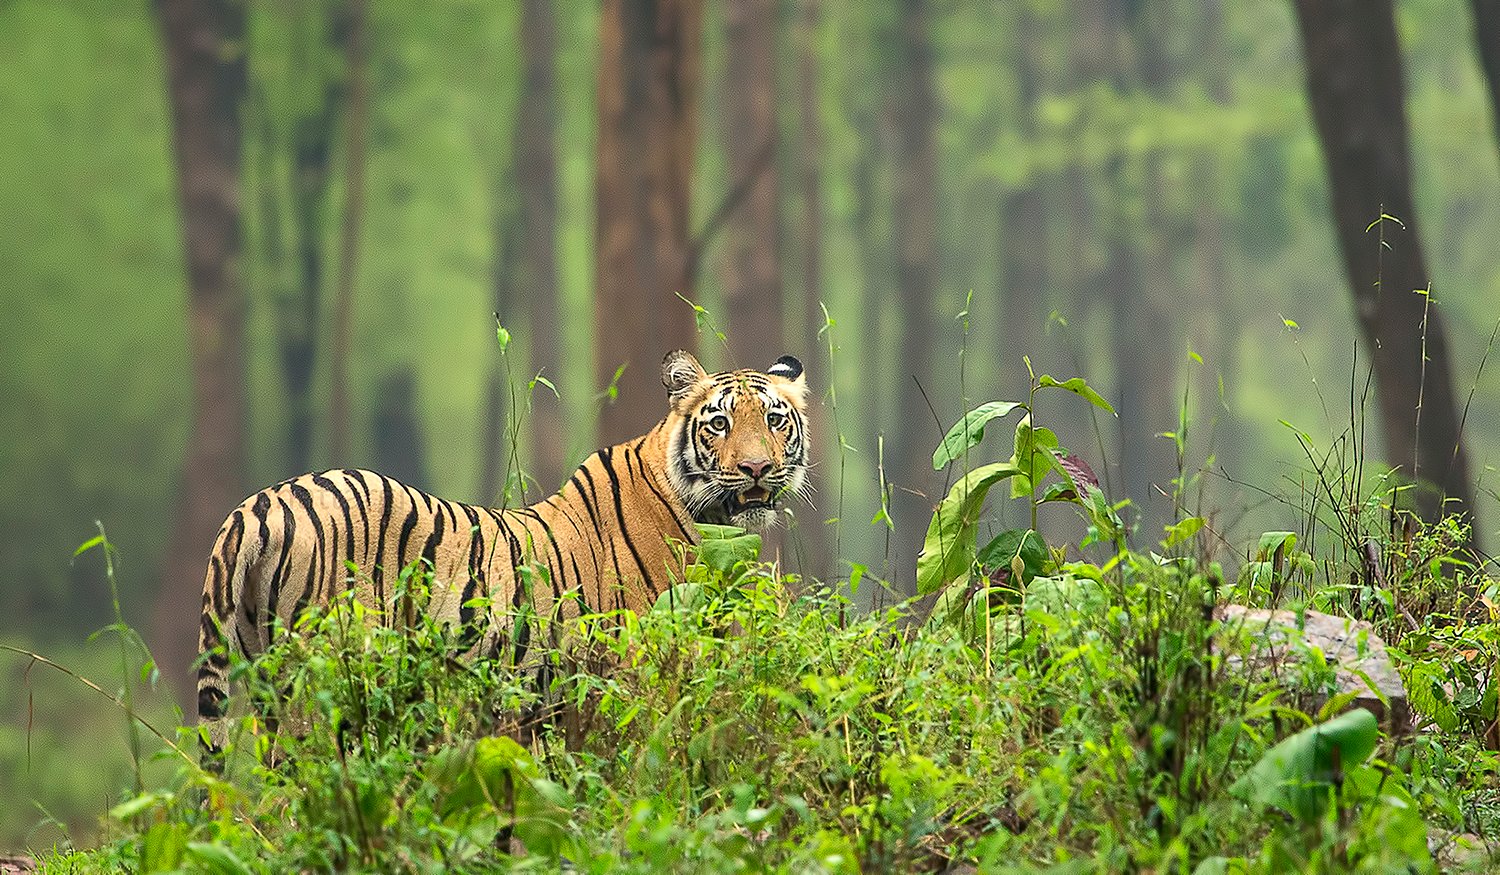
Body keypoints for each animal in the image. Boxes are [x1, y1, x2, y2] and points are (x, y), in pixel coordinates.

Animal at [198, 349, 810, 759]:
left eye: (774, 419)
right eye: (720, 422)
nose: (757, 468)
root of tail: (256, 505)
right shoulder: (631, 679)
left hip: (267, 686)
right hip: (325, 689)